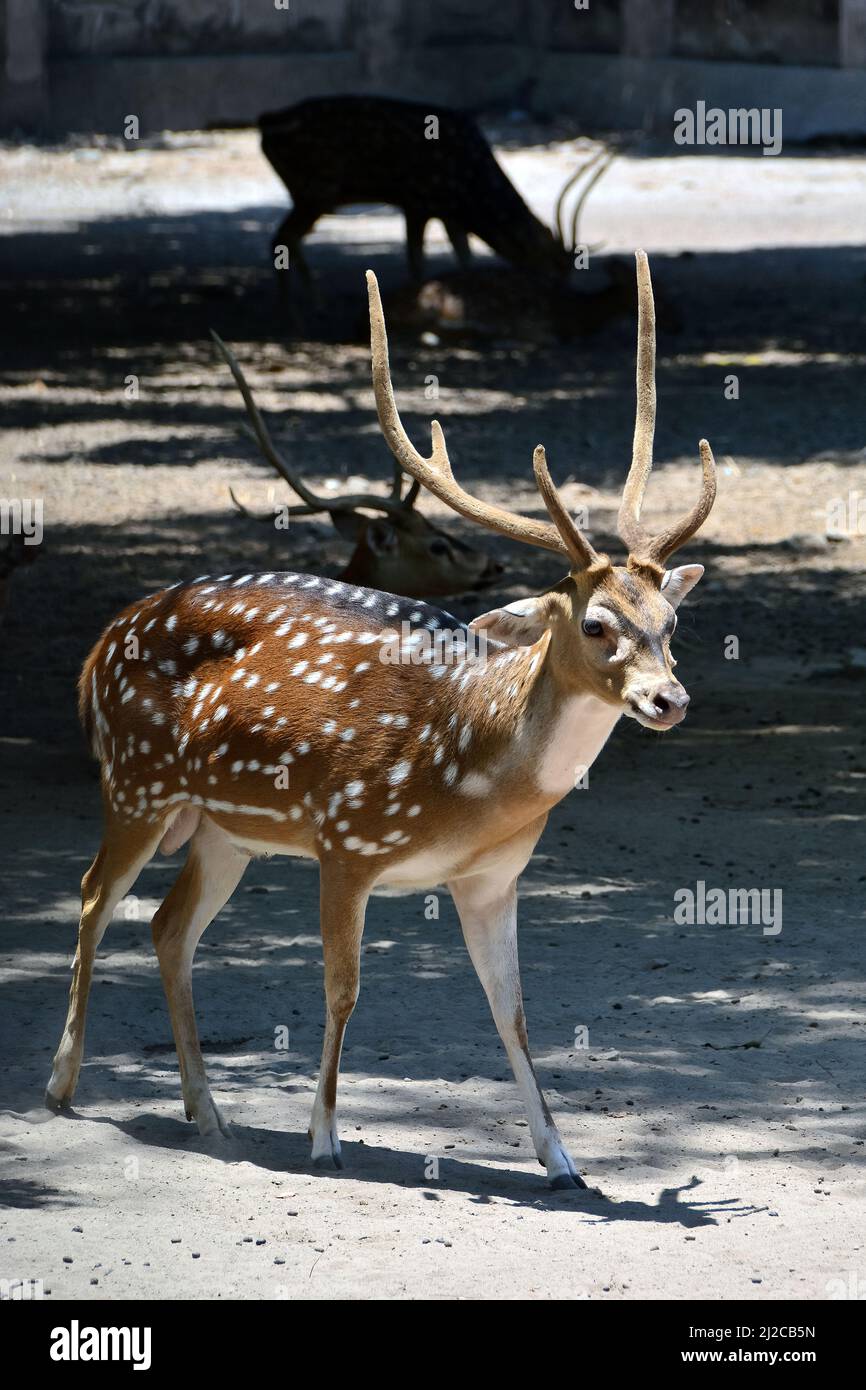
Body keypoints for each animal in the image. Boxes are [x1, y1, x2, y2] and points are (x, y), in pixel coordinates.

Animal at [259, 95, 610, 287]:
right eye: (552, 270)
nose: (564, 298)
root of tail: (266, 123)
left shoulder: (447, 212)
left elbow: (465, 258)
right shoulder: (417, 201)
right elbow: (417, 265)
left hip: (310, 195)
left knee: (288, 240)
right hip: (315, 192)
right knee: (281, 239)